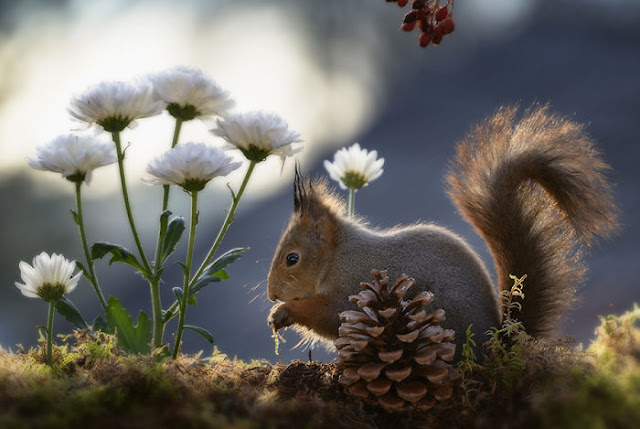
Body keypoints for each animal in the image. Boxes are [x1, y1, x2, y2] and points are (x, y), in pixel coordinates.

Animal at [266, 105, 619, 353]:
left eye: (292, 258)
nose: (271, 294)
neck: (337, 260)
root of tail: (495, 345)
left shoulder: (352, 289)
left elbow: (326, 316)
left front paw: (285, 312)